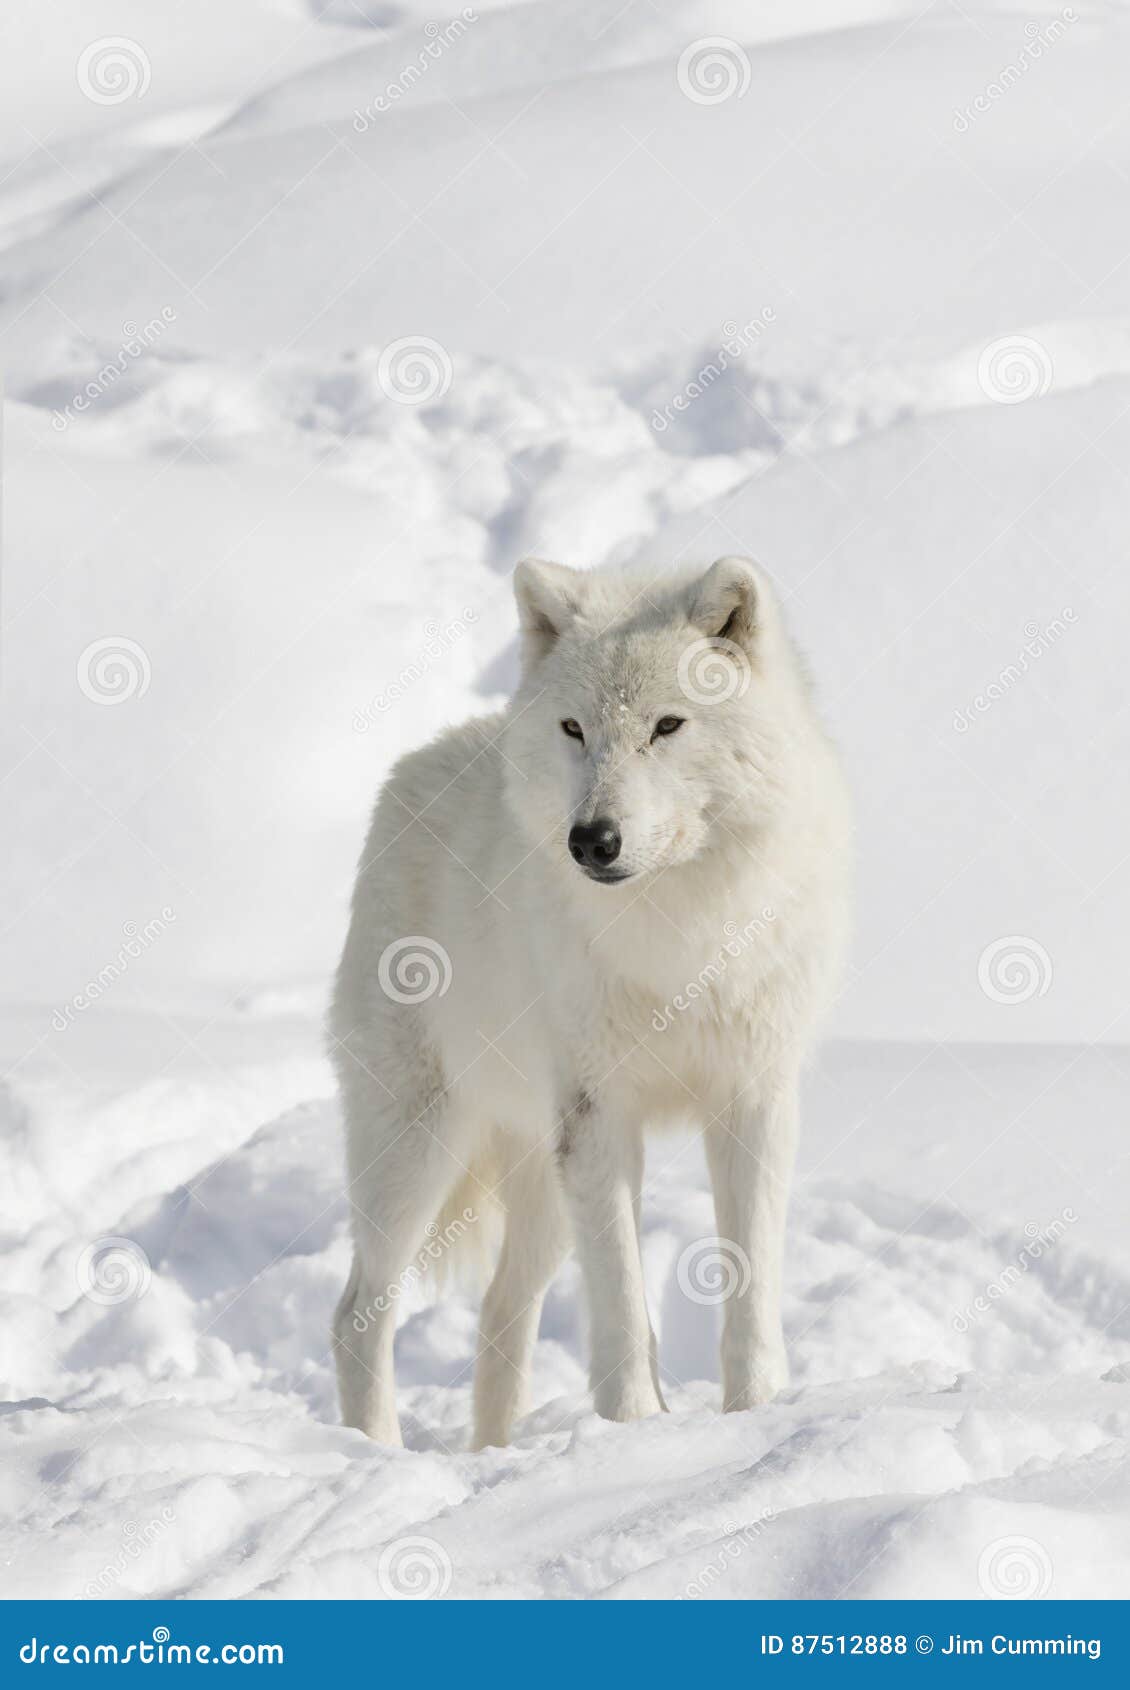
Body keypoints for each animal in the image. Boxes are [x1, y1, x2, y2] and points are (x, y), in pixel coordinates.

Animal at [329, 555, 851, 1448]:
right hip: (417, 1150)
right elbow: (622, 1304)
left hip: (535, 1180)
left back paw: (496, 1456)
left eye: (668, 726)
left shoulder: (752, 1098)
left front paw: (755, 1415)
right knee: (358, 1313)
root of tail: (415, 765)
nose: (592, 840)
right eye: (574, 729)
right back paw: (377, 1454)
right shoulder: (600, 1115)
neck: (681, 935)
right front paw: (638, 1426)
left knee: (500, 1312)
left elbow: (750, 1288)